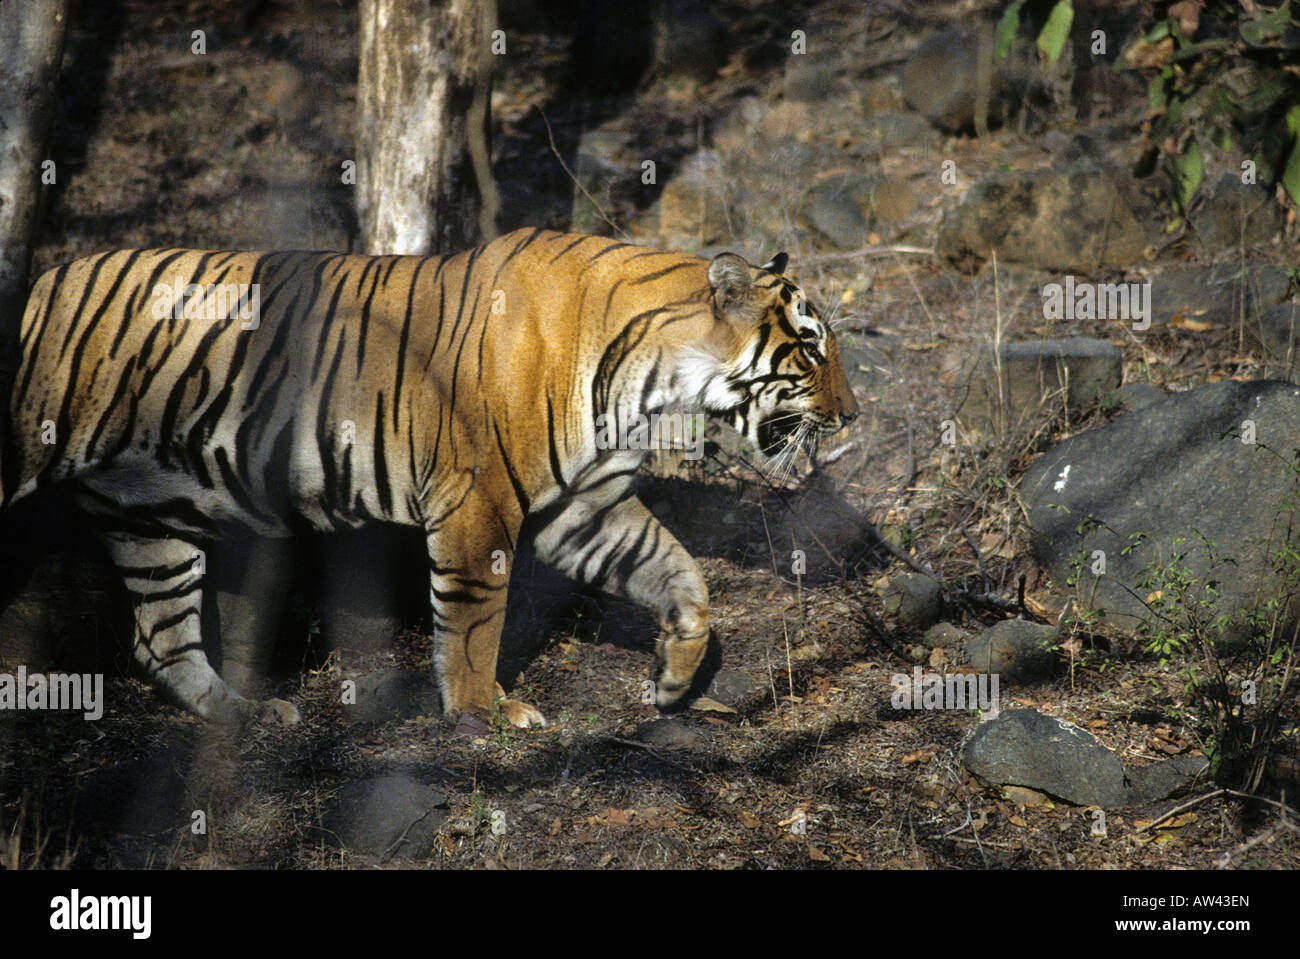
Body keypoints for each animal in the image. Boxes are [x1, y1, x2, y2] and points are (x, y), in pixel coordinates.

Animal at [0, 228, 859, 728]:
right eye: (811, 348)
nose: (852, 414)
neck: (647, 376)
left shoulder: (585, 503)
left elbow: (682, 578)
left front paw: (676, 680)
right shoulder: (479, 501)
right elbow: (475, 621)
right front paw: (484, 715)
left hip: (151, 518)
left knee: (160, 642)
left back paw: (247, 715)